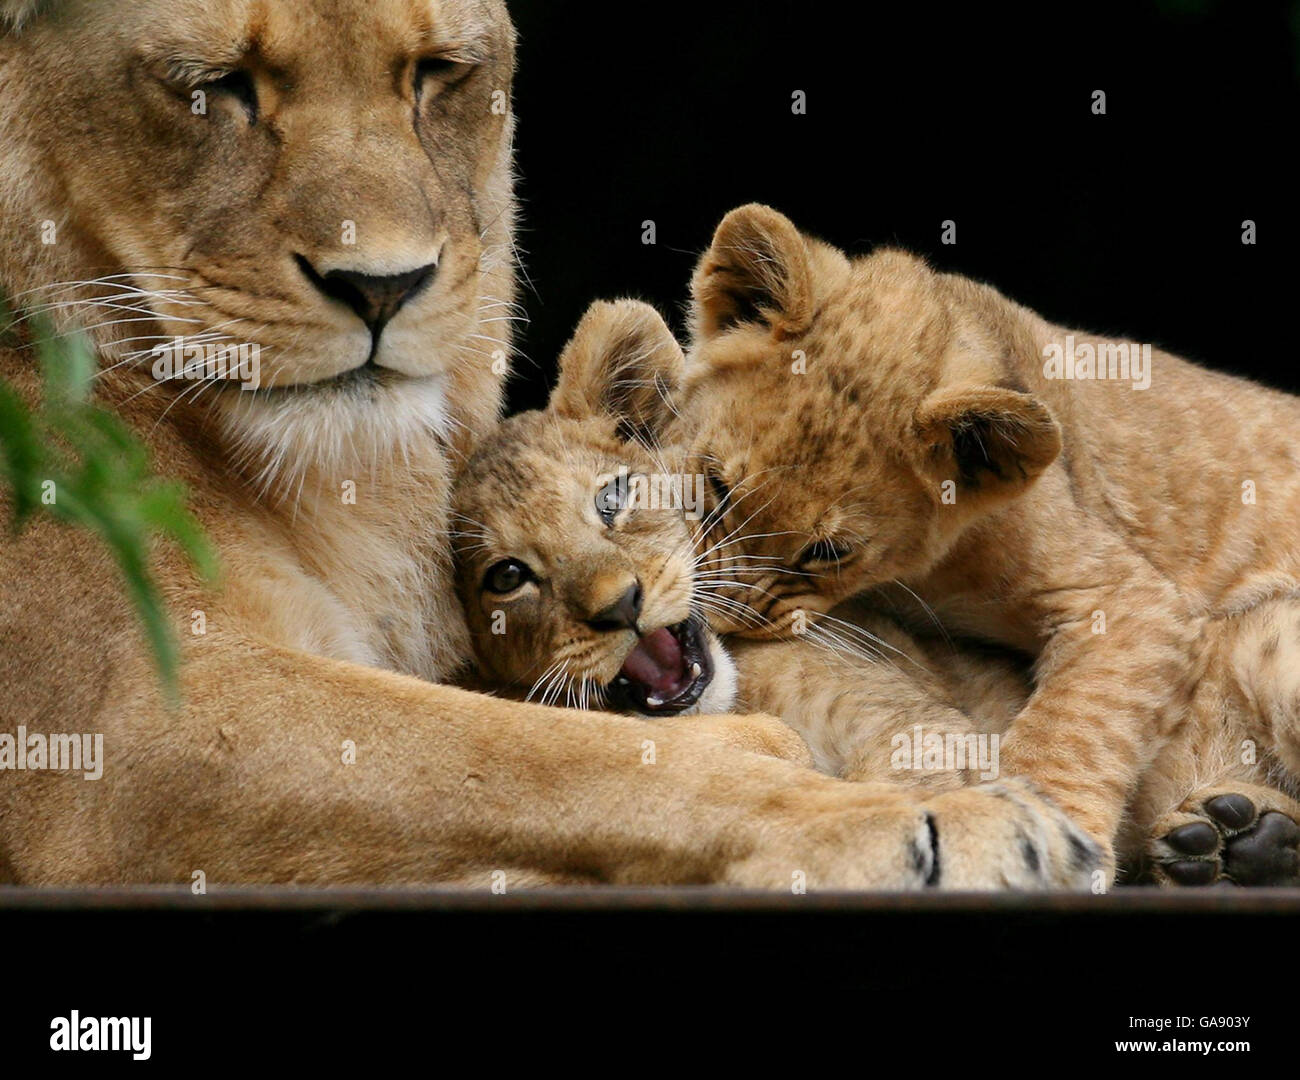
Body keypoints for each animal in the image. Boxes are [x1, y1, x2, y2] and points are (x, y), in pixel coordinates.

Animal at [0, 0, 1100, 891]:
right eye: (212, 86)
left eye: (435, 74)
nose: (383, 287)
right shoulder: (126, 727)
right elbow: (529, 759)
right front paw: (935, 822)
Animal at [673, 203, 1300, 885]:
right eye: (716, 485)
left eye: (831, 553)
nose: (724, 620)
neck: (922, 574)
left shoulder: (1134, 601)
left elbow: (1074, 727)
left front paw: (1040, 831)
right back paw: (1238, 838)